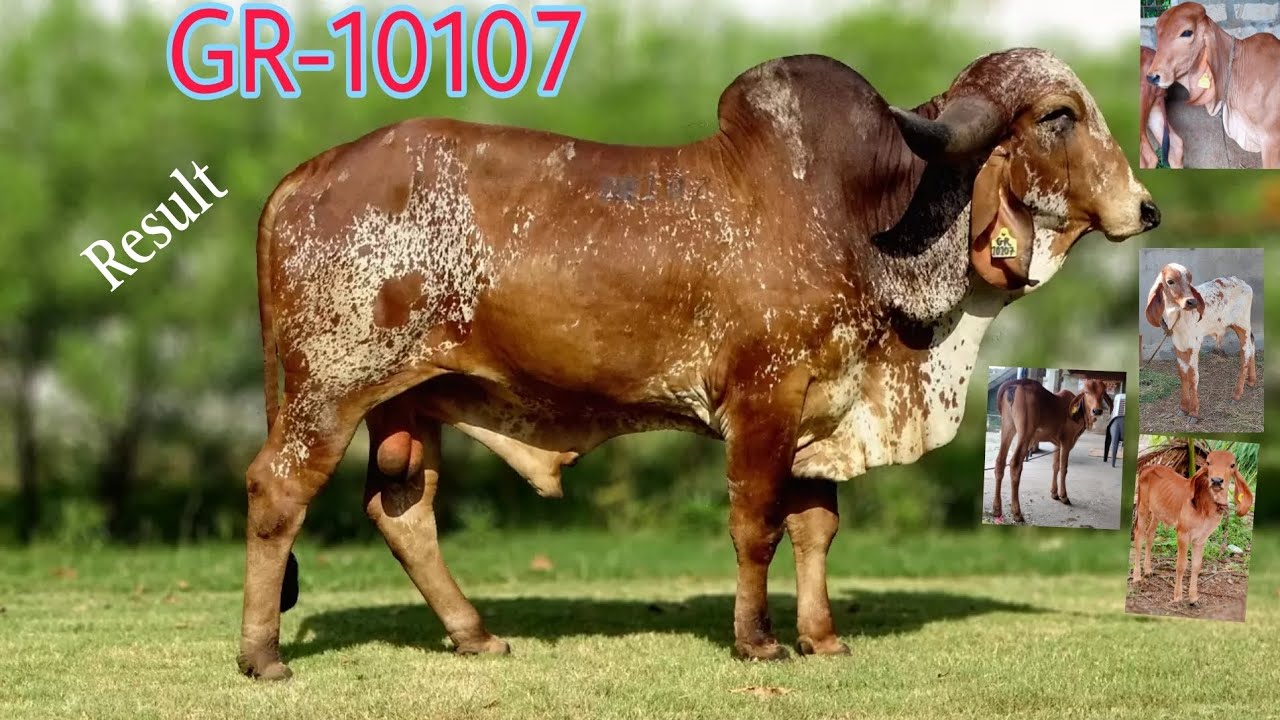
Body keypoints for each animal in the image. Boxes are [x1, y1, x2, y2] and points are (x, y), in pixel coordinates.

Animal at [990, 378, 1113, 524]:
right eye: (1086, 392)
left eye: (1102, 393)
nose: (1097, 410)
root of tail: (1016, 383)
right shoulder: (1066, 442)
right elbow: (1064, 468)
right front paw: (1064, 496)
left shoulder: (1057, 444)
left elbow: (1055, 466)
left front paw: (1054, 493)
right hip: (1025, 431)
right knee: (1015, 463)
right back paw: (1017, 513)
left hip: (1008, 426)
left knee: (1000, 462)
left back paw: (996, 509)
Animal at [1132, 449, 1254, 605]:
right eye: (1208, 462)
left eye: (1232, 465)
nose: (1216, 481)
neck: (1206, 507)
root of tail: (1147, 467)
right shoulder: (1182, 533)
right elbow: (1181, 565)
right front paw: (1177, 596)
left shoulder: (1201, 539)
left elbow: (1196, 566)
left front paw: (1193, 597)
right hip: (1143, 508)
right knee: (1138, 537)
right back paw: (1137, 576)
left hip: (1157, 513)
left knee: (1150, 535)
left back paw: (1147, 570)